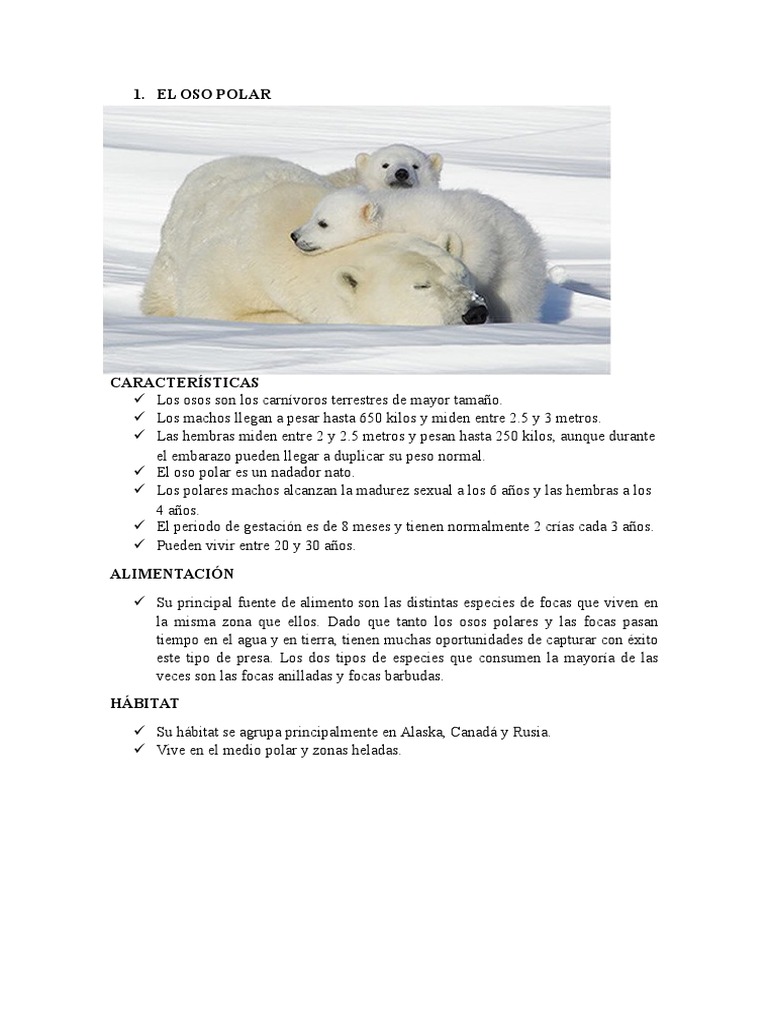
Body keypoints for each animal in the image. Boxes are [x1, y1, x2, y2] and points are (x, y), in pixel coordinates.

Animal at [141, 157, 488, 326]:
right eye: (421, 285)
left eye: (462, 275)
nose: (475, 312)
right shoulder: (225, 273)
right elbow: (212, 307)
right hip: (171, 254)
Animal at [290, 186, 548, 323]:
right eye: (313, 214)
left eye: (322, 223)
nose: (294, 235)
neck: (396, 213)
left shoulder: (457, 227)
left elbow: (479, 253)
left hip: (520, 266)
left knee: (517, 302)